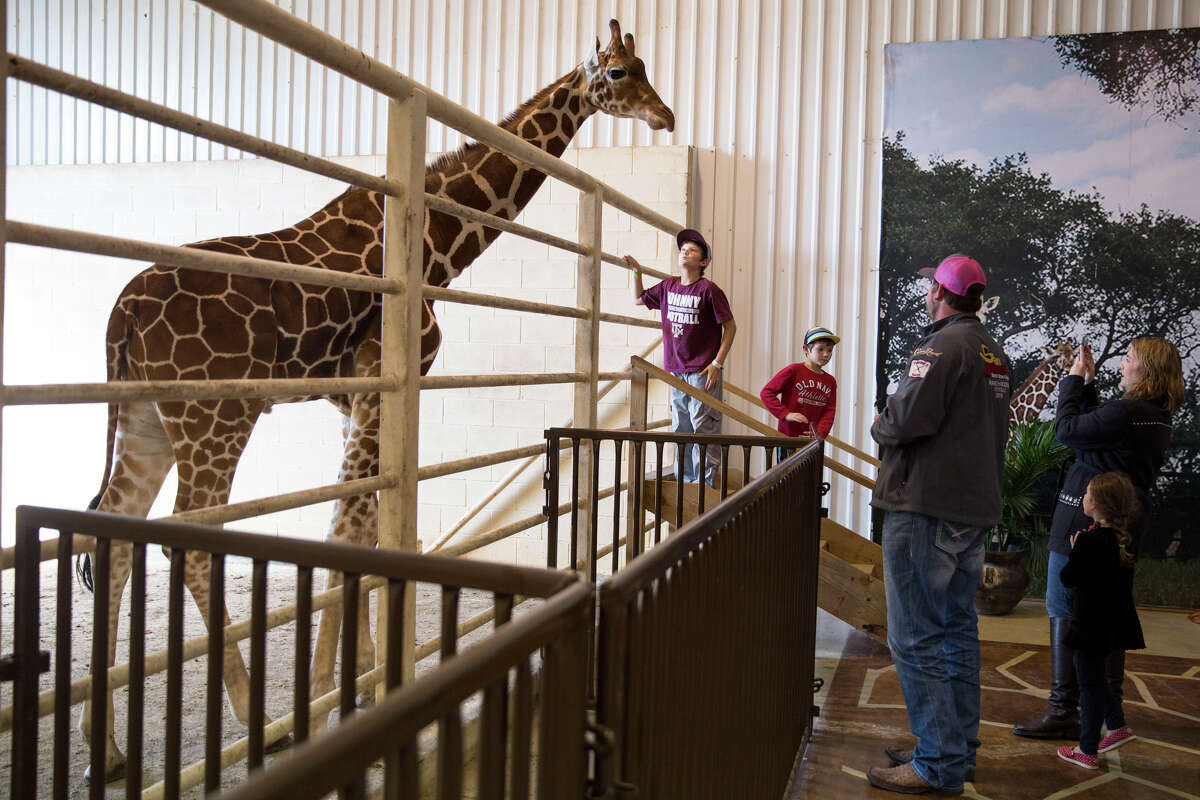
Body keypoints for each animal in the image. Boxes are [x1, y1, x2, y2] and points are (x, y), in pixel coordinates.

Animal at [81, 20, 674, 782]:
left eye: (646, 69)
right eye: (622, 72)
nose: (666, 117)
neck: (437, 245)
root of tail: (121, 314)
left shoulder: (355, 397)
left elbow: (361, 518)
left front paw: (359, 669)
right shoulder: (388, 375)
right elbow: (349, 520)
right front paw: (331, 687)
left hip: (146, 417)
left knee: (114, 530)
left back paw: (106, 751)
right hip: (216, 412)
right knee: (189, 540)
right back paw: (257, 721)